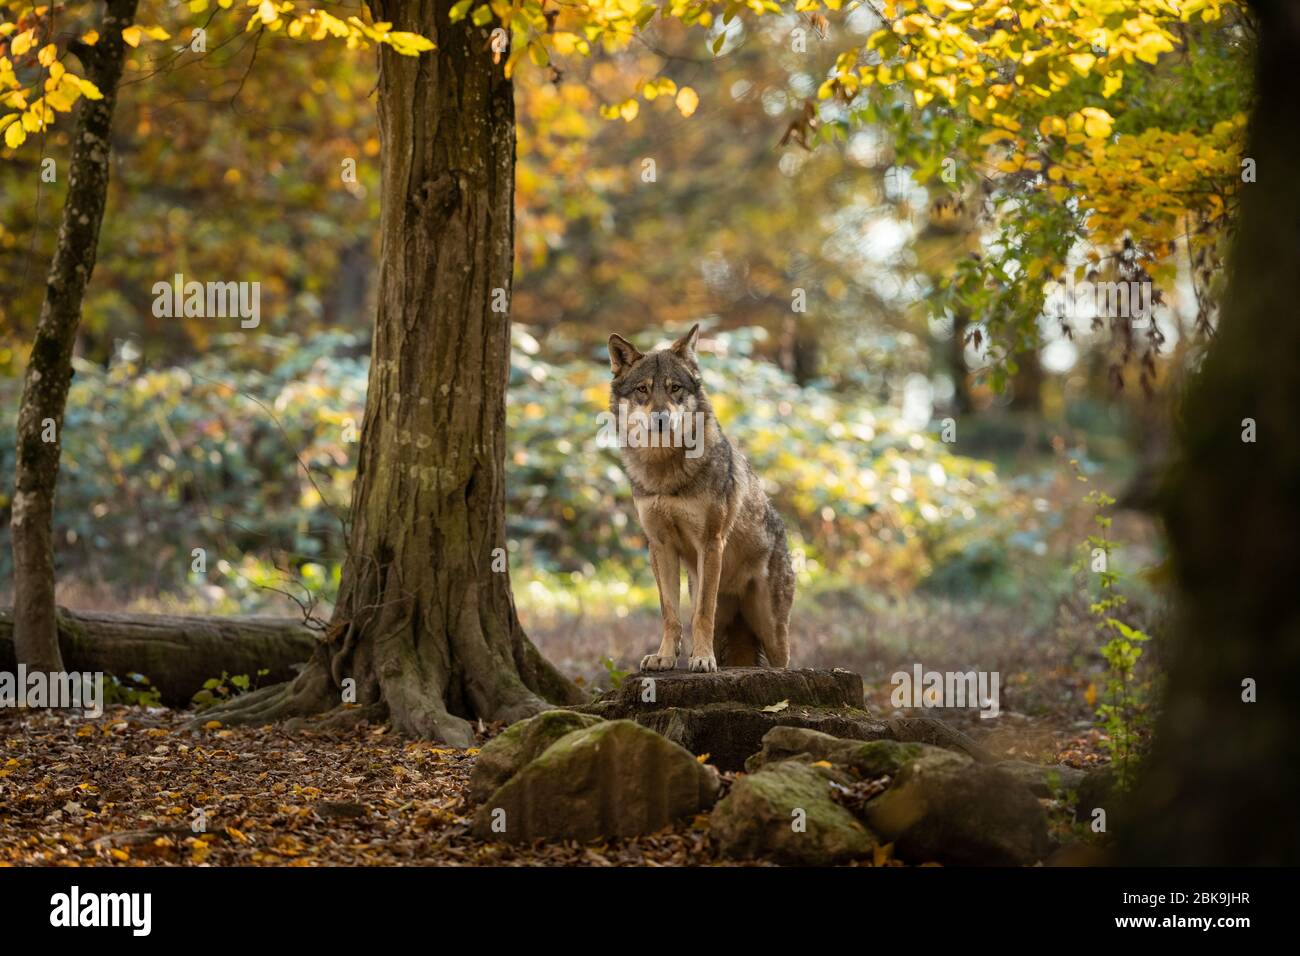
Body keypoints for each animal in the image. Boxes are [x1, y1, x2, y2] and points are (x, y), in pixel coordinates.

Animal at [607, 324, 795, 672]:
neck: (666, 472)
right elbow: (670, 613)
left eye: (675, 388)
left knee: (782, 659)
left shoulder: (710, 542)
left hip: (772, 631)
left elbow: (702, 613)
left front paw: (703, 660)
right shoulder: (660, 545)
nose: (661, 419)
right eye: (642, 390)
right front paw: (665, 657)